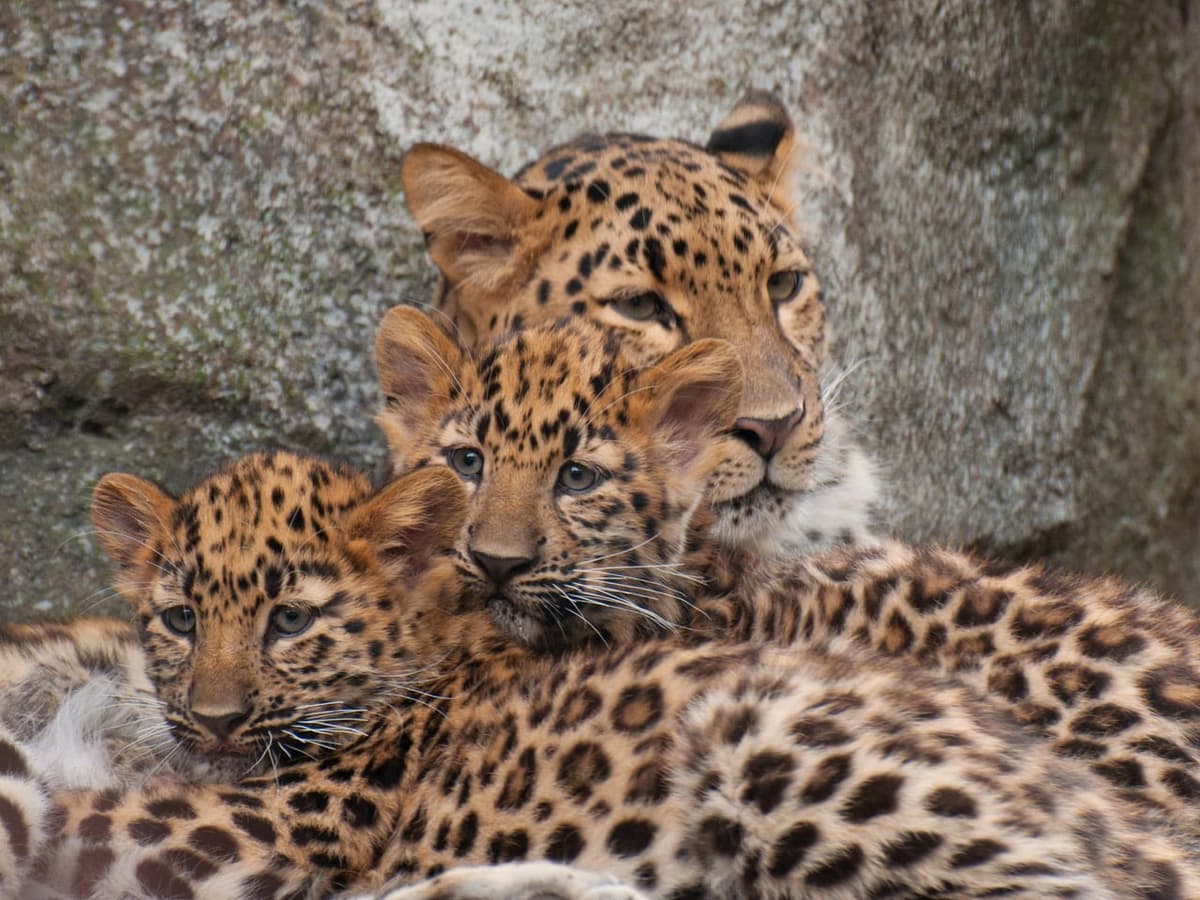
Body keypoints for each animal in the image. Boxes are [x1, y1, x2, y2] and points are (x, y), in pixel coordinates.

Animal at [11, 451, 1197, 898]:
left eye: (290, 621)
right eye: (180, 618)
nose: (210, 722)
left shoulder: (238, 837)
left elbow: (55, 816)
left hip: (777, 736)